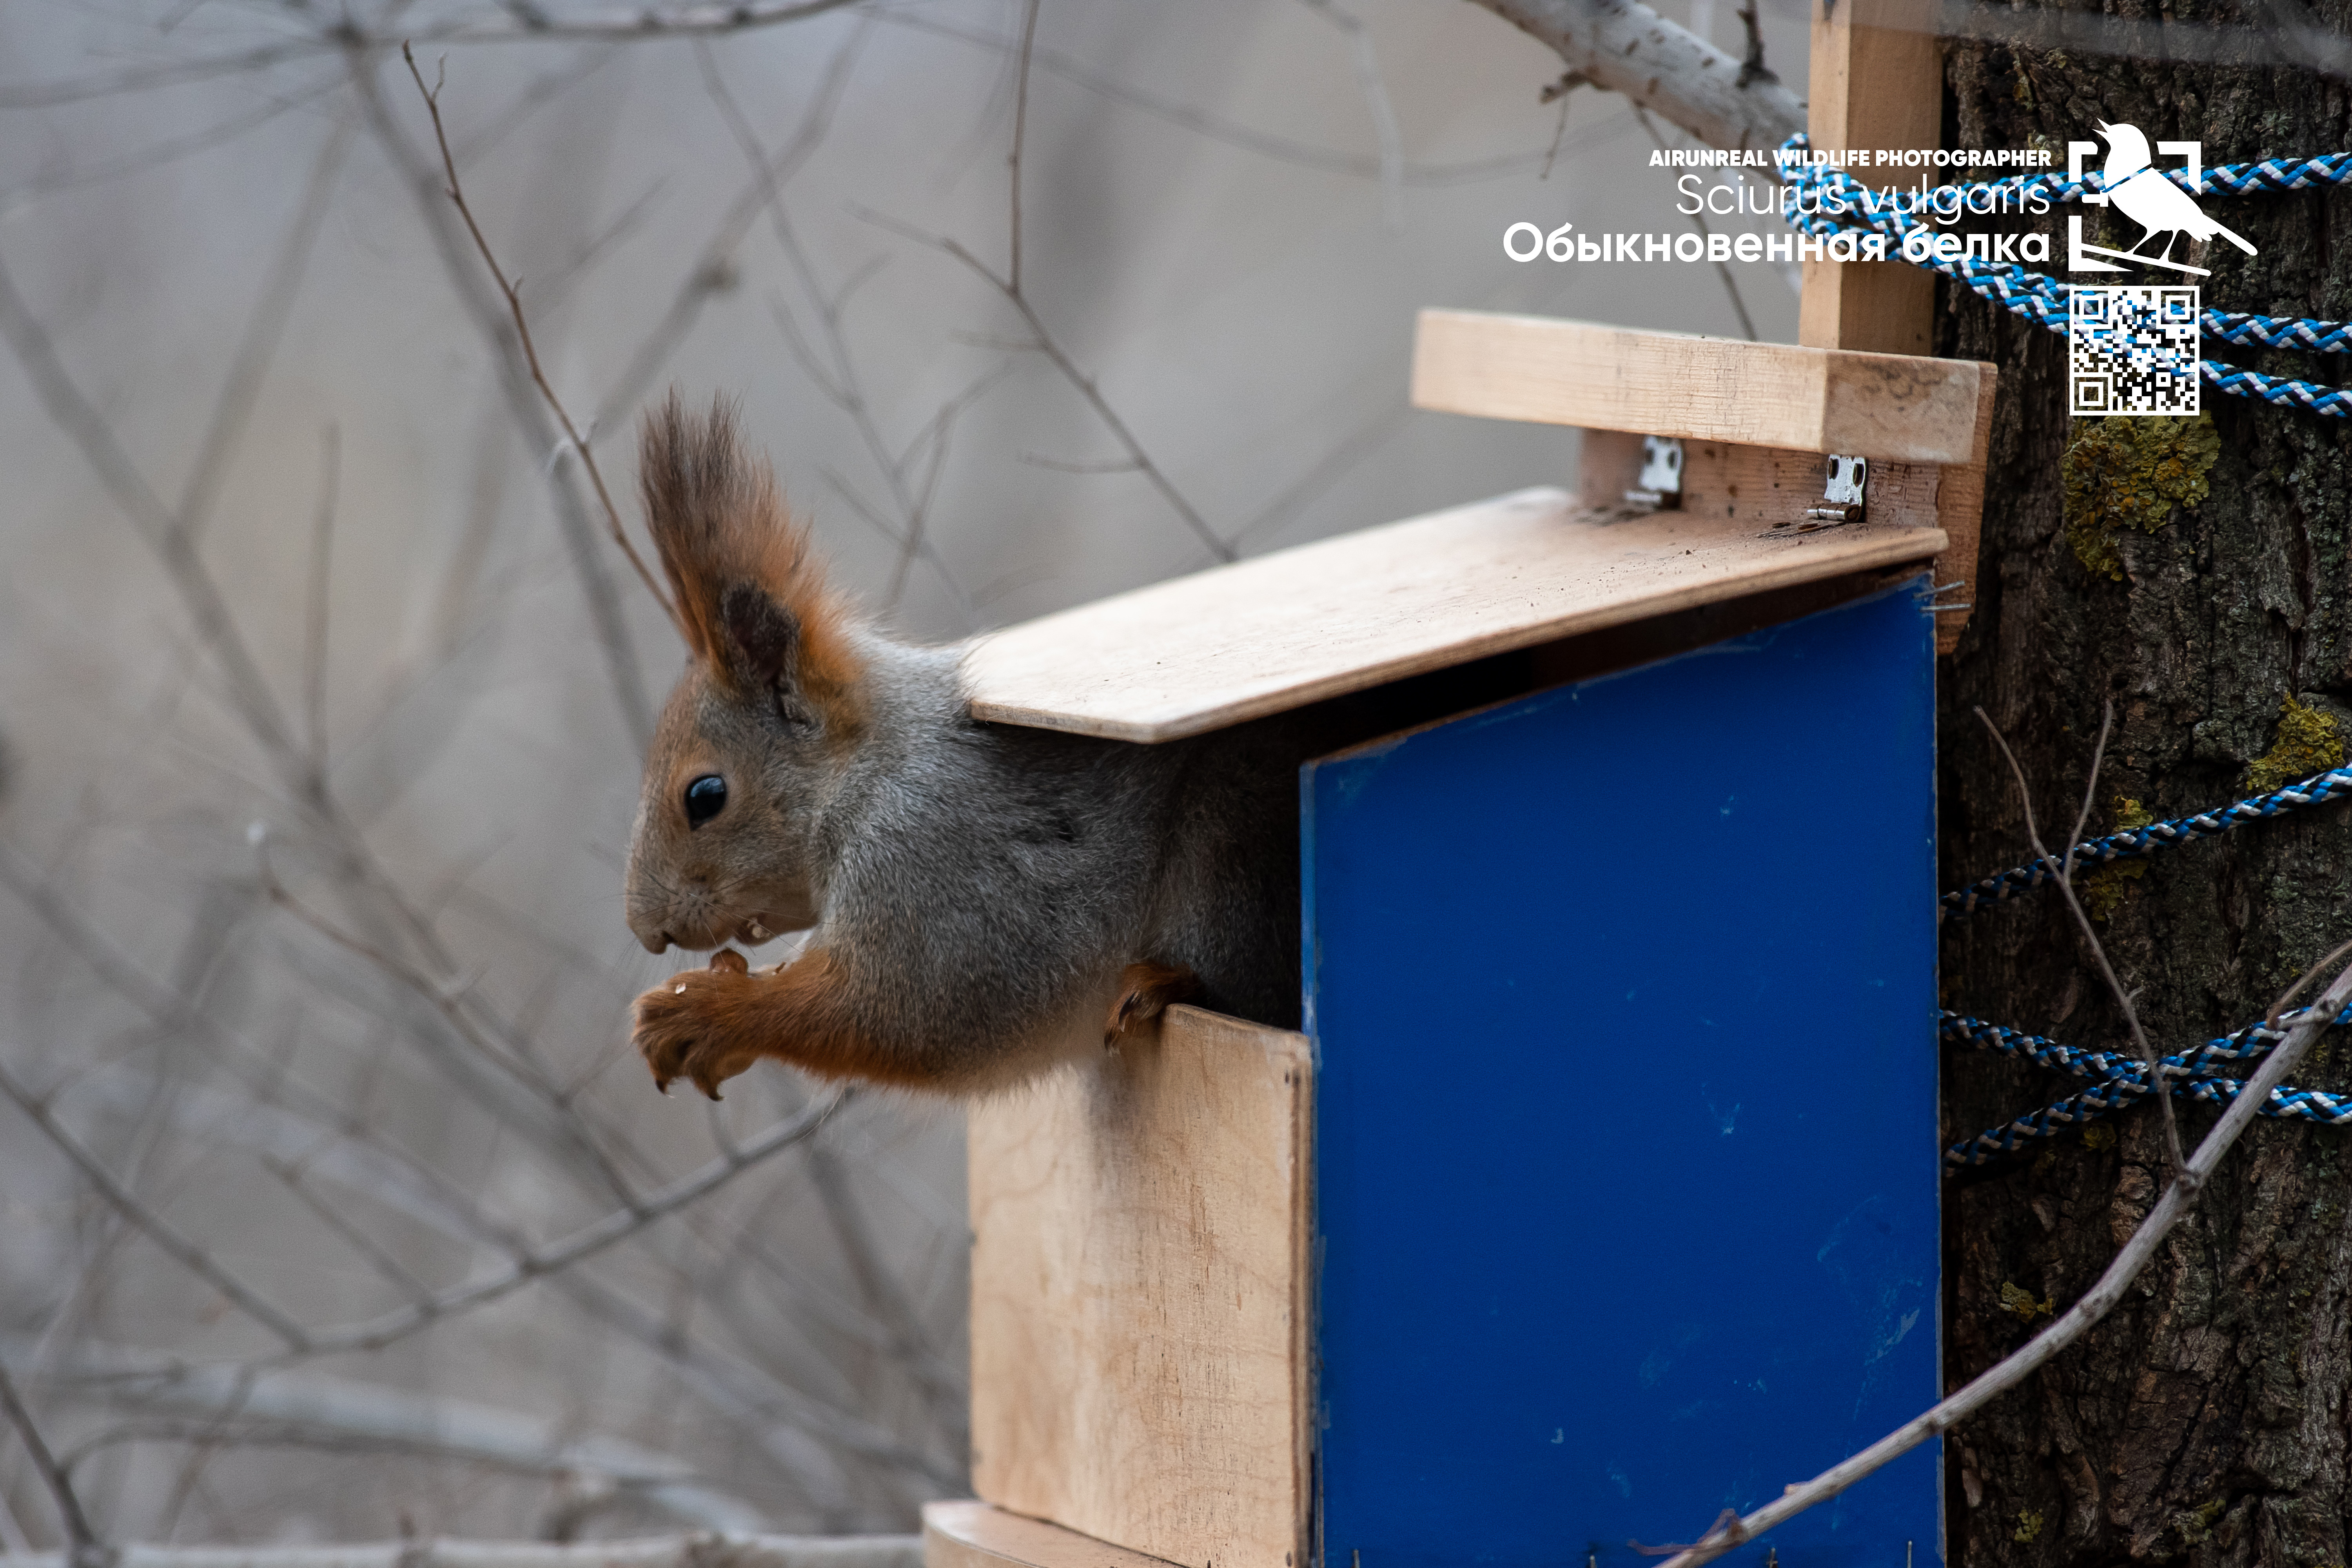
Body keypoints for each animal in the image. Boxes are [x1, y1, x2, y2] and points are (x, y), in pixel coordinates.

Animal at [621, 399, 1308, 1100]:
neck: (868, 774)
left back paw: (1163, 983)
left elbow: (903, 1015)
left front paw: (703, 1014)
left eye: (706, 795)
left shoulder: (935, 862)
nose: (649, 932)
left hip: (1230, 850)